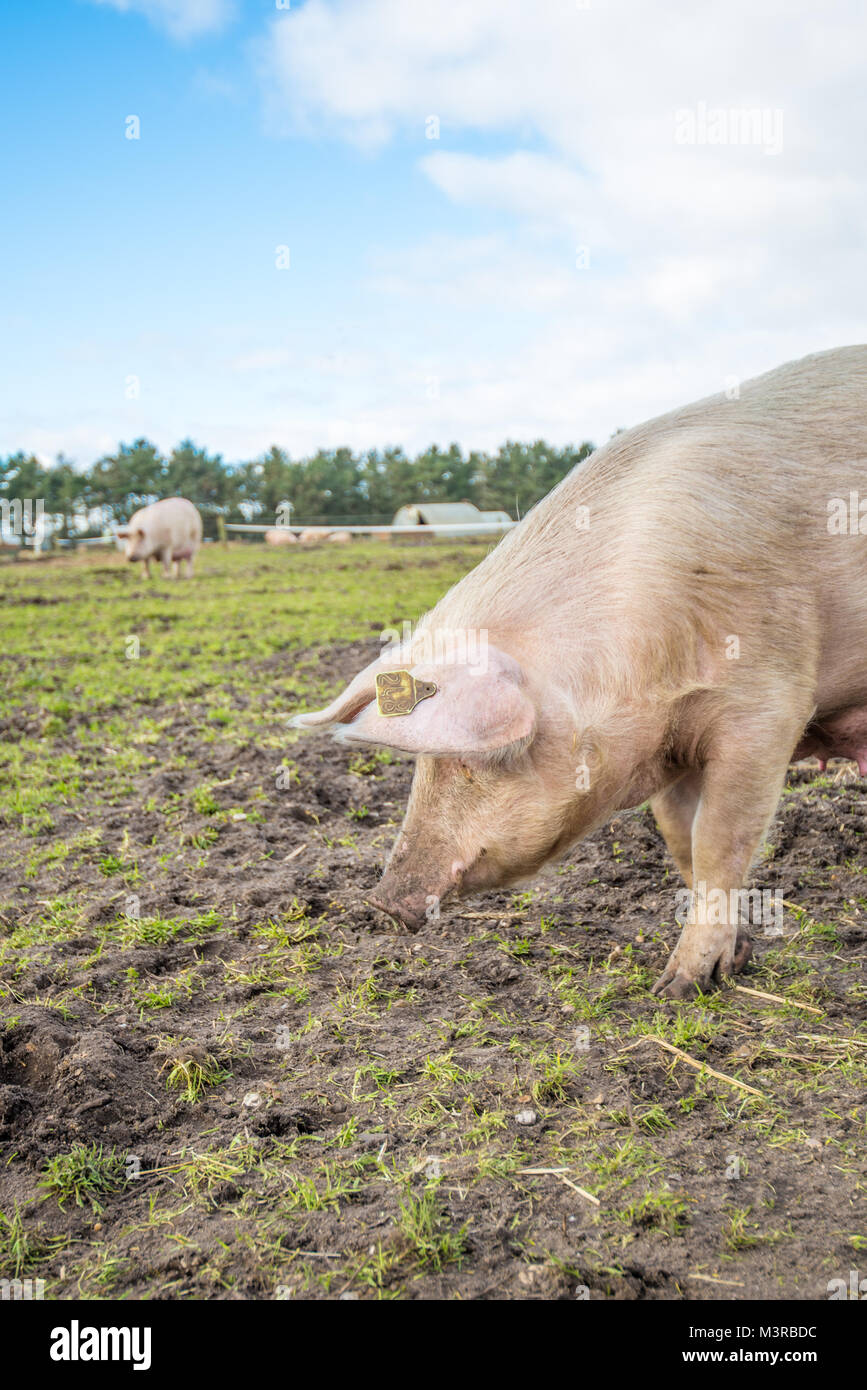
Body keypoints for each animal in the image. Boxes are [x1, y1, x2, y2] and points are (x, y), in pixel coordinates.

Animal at [292, 347, 867, 998]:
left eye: (471, 760)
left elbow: (720, 840)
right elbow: (680, 839)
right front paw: (734, 958)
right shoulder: (673, 741)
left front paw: (675, 989)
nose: (383, 902)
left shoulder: (766, 707)